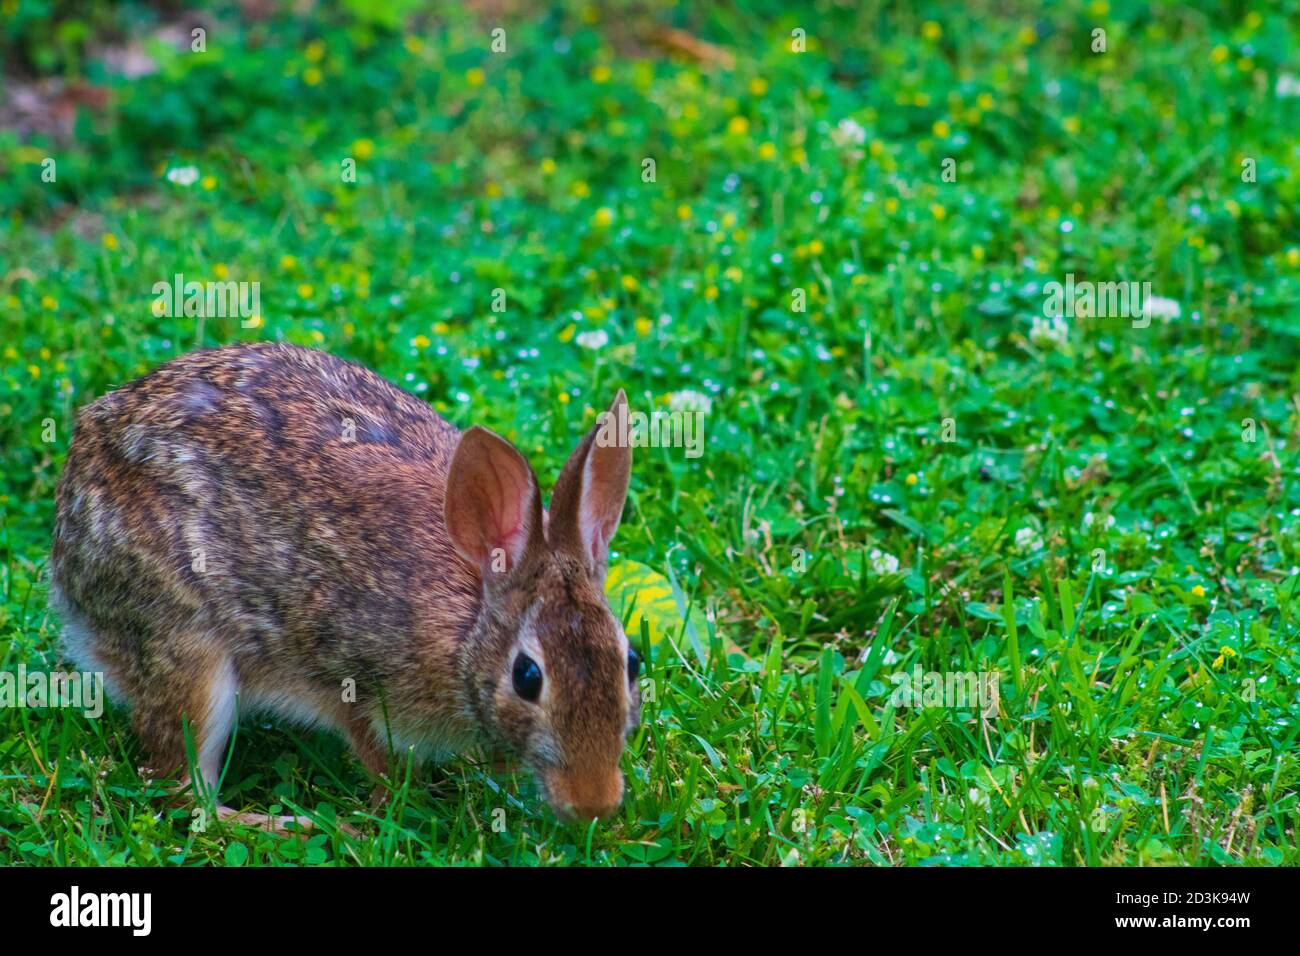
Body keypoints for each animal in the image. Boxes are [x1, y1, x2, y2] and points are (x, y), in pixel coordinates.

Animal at [49, 341, 640, 827]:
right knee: (185, 795)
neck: (469, 626)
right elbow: (376, 758)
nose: (594, 804)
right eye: (526, 677)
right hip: (187, 652)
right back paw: (285, 824)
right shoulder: (354, 684)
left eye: (632, 662)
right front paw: (382, 810)